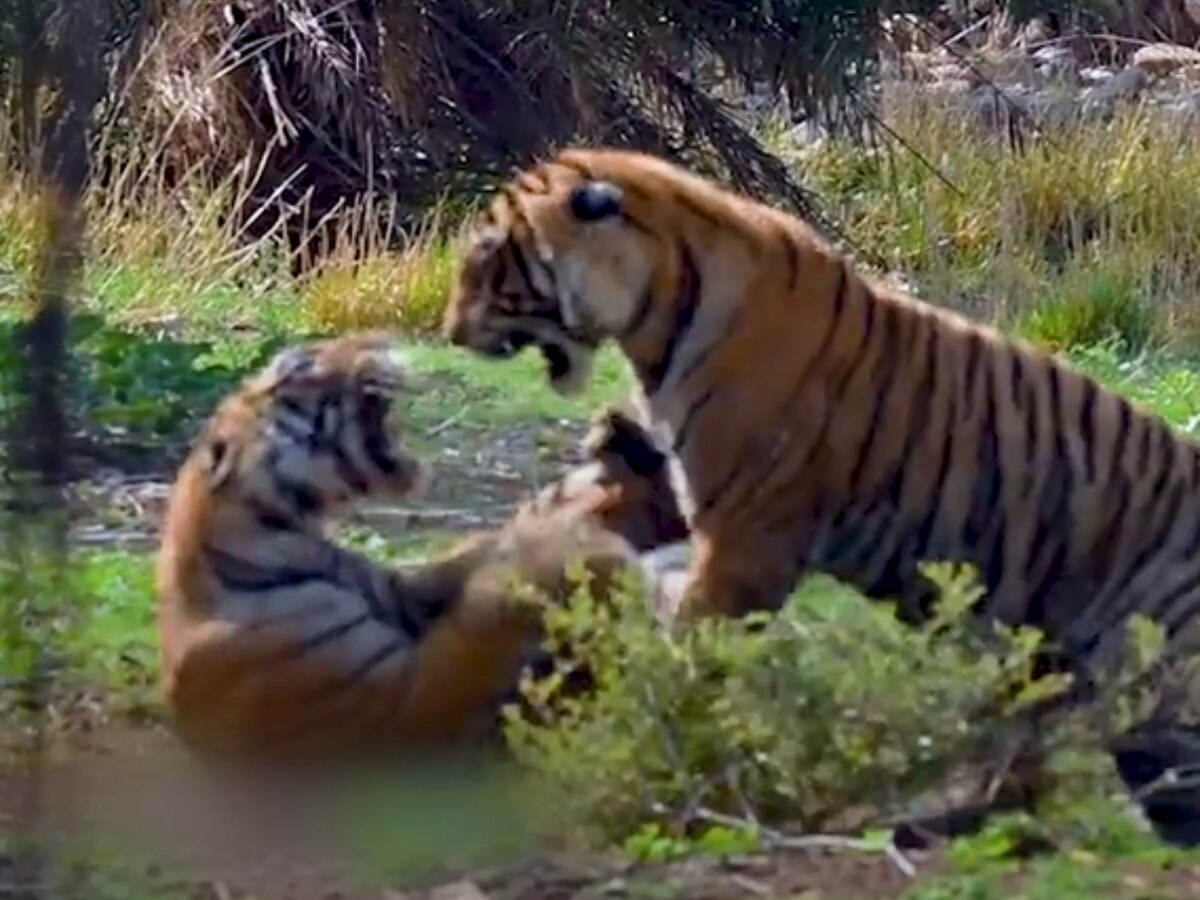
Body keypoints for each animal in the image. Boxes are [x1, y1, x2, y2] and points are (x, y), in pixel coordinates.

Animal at [155, 331, 654, 763]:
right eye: (302, 364)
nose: (376, 337)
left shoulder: (399, 591)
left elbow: (469, 560)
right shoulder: (396, 710)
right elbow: (481, 616)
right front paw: (569, 538)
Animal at [441, 146, 1200, 846]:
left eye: (488, 258)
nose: (447, 332)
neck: (656, 310)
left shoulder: (744, 539)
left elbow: (692, 656)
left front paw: (668, 758)